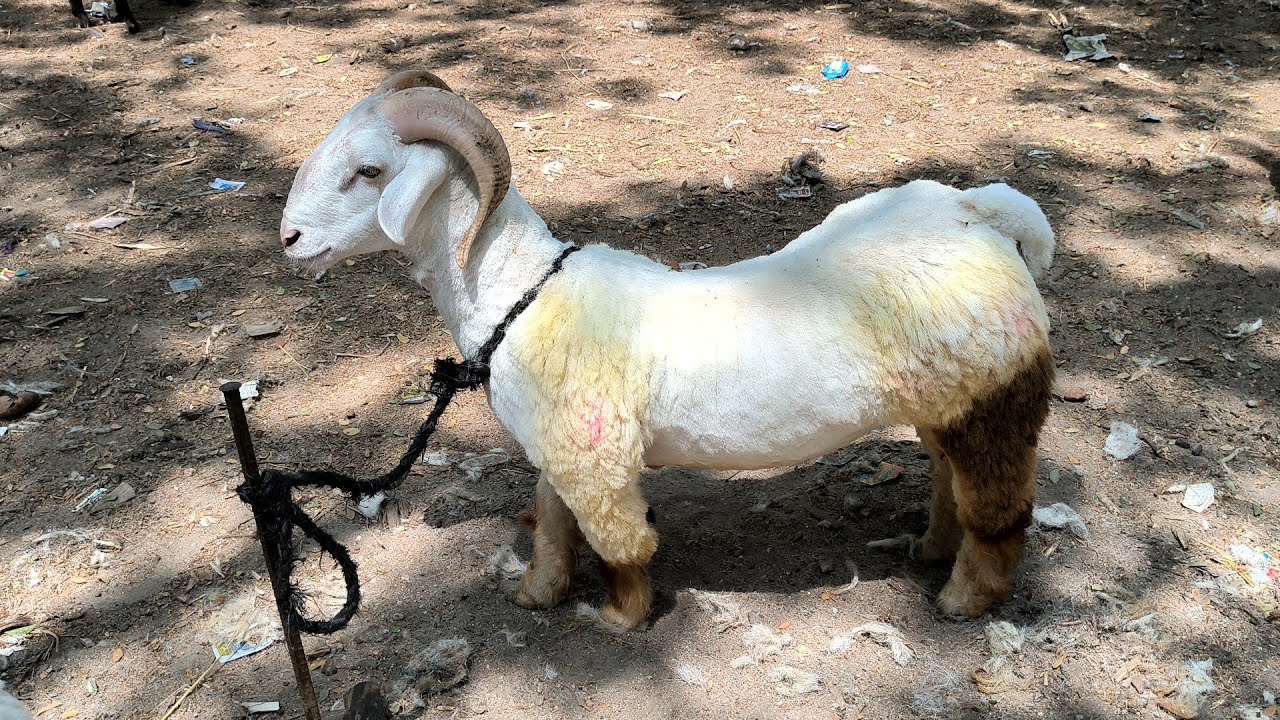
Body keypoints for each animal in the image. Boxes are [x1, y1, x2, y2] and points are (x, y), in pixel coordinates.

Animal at [280, 69, 1057, 630]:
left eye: (370, 171)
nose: (289, 239)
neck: (523, 294)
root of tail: (984, 217)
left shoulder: (596, 460)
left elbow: (621, 544)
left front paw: (618, 618)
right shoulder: (563, 448)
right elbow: (552, 521)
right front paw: (538, 593)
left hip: (995, 400)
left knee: (999, 512)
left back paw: (963, 600)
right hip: (948, 399)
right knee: (950, 480)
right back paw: (930, 549)